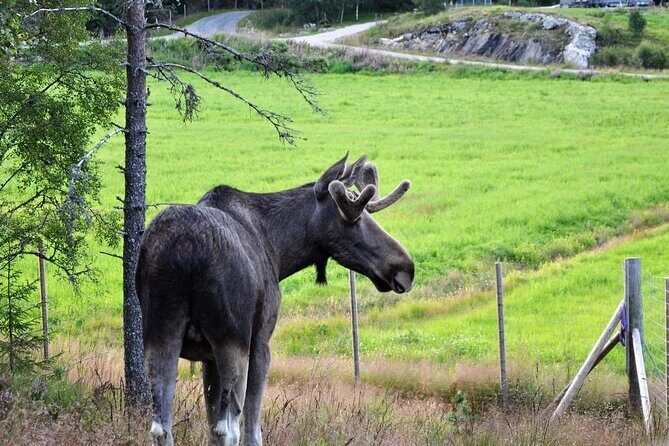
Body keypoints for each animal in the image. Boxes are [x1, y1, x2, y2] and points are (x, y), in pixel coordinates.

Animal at [136, 154, 415, 446]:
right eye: (355, 217)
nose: (406, 267)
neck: (280, 251)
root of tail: (185, 249)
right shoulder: (260, 341)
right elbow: (252, 429)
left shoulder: (207, 356)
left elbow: (211, 427)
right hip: (232, 340)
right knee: (230, 428)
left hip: (160, 334)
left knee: (162, 426)